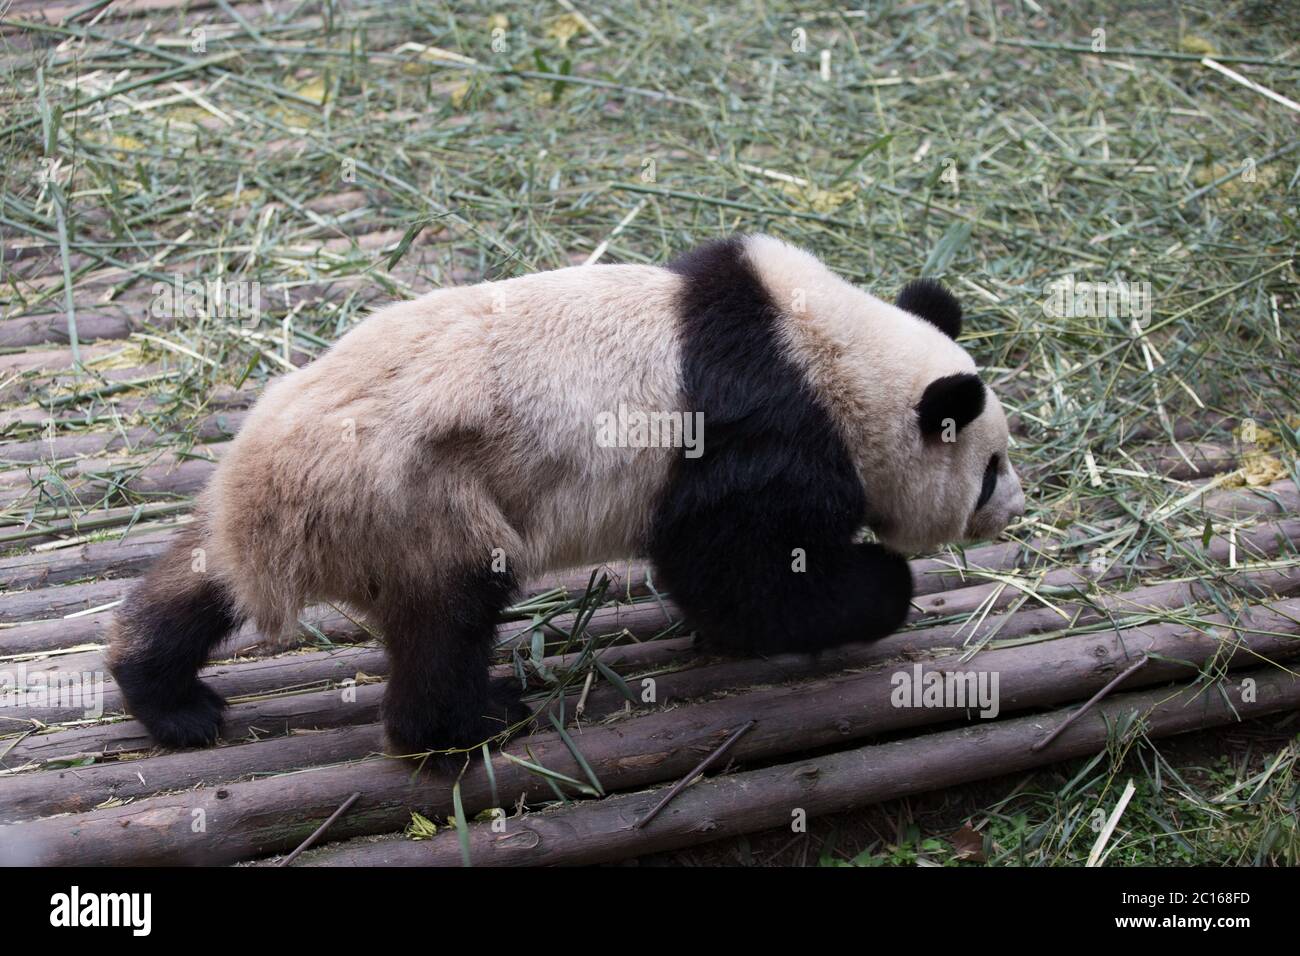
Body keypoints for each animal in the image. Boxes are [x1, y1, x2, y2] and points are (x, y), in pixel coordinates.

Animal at [107, 234, 1025, 760]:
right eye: (991, 464)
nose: (1014, 505)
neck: (830, 354)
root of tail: (264, 508)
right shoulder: (761, 438)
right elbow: (740, 572)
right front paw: (877, 589)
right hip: (413, 496)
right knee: (451, 608)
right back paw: (472, 721)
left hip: (279, 495)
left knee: (199, 578)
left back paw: (168, 697)